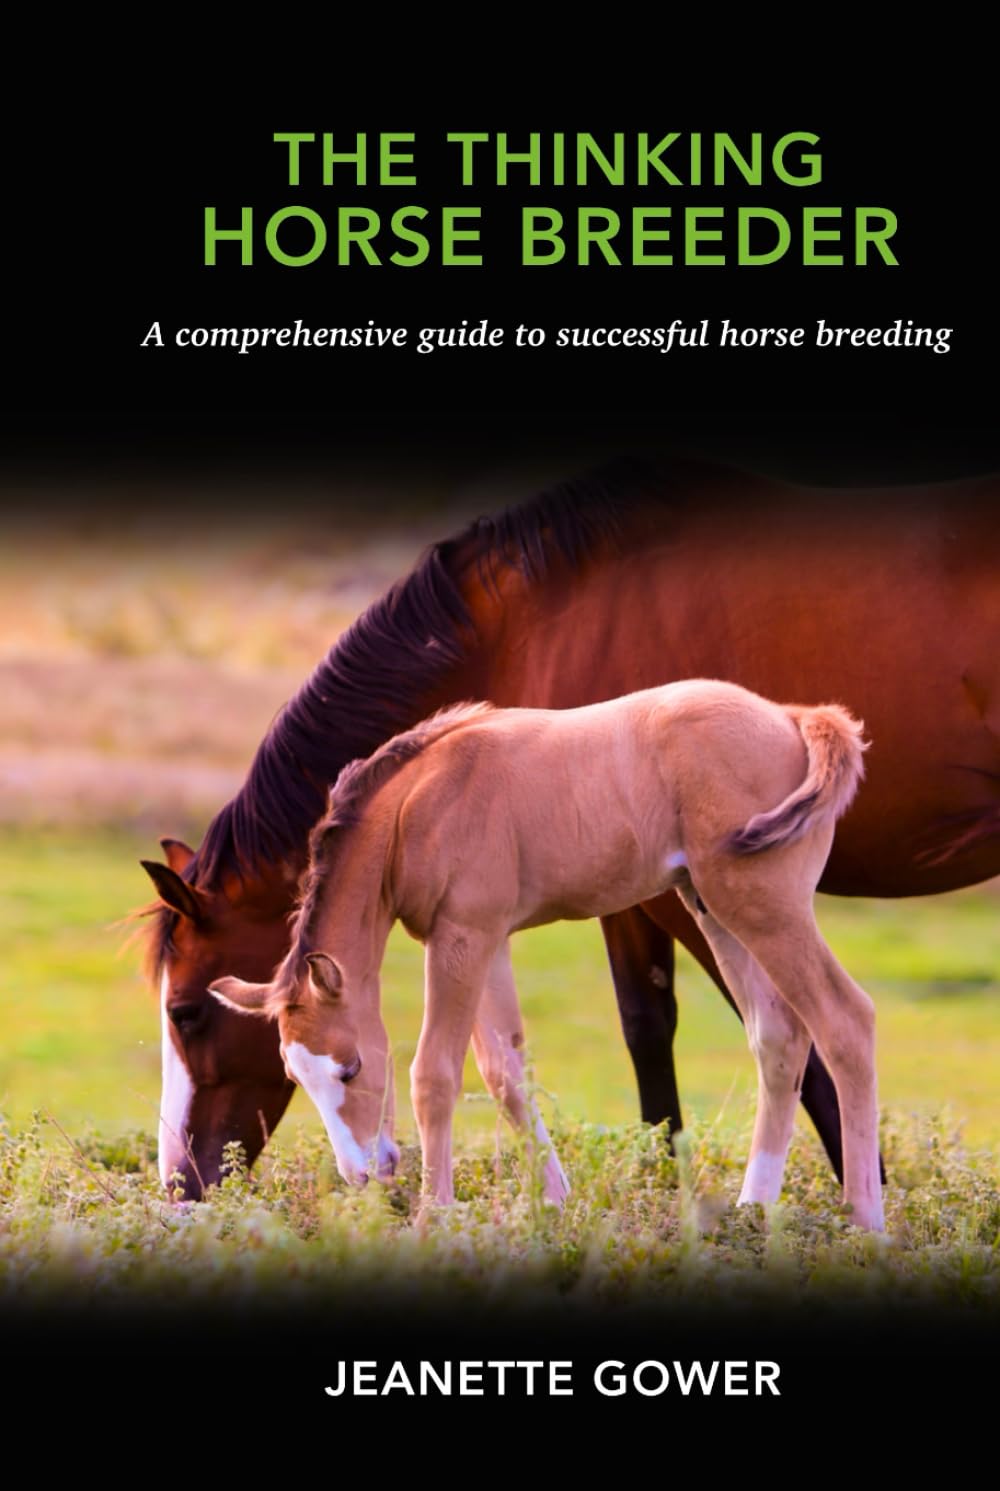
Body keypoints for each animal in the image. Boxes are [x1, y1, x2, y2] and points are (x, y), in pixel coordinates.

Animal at [208, 683, 881, 1227]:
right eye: (296, 1077)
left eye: (349, 1069)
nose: (363, 1177)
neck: (419, 805)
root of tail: (796, 717)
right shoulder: (481, 938)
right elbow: (503, 1070)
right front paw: (556, 1202)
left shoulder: (463, 936)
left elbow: (435, 1072)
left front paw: (435, 1213)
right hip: (712, 907)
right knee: (779, 1035)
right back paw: (752, 1208)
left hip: (763, 902)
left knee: (844, 1019)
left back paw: (863, 1220)